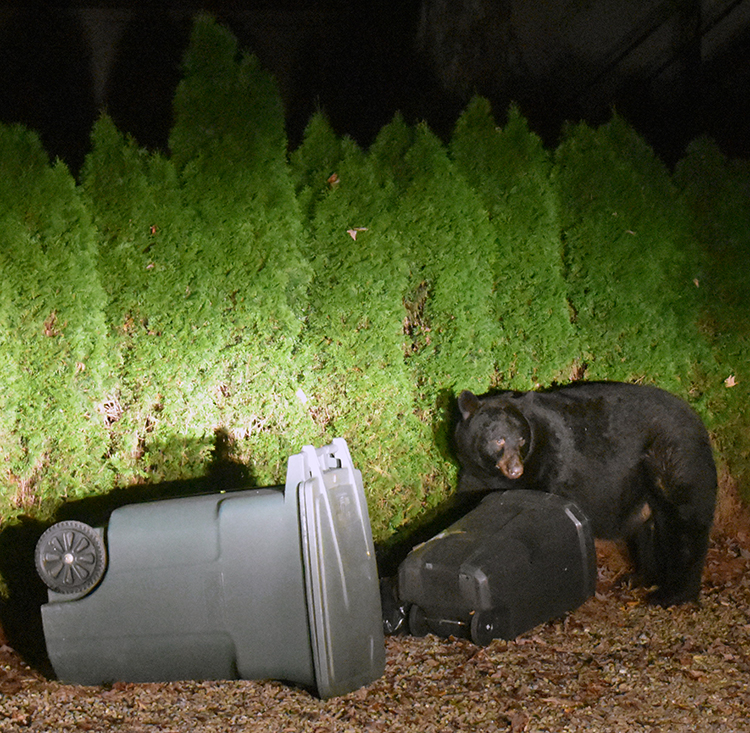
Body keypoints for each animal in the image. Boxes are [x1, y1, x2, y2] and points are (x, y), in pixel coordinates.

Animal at [454, 381, 717, 606]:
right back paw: (640, 578)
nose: (515, 469)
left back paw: (672, 593)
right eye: (498, 440)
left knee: (685, 523)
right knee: (647, 529)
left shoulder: (553, 464)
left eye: (520, 439)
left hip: (674, 458)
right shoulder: (474, 473)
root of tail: (699, 421)